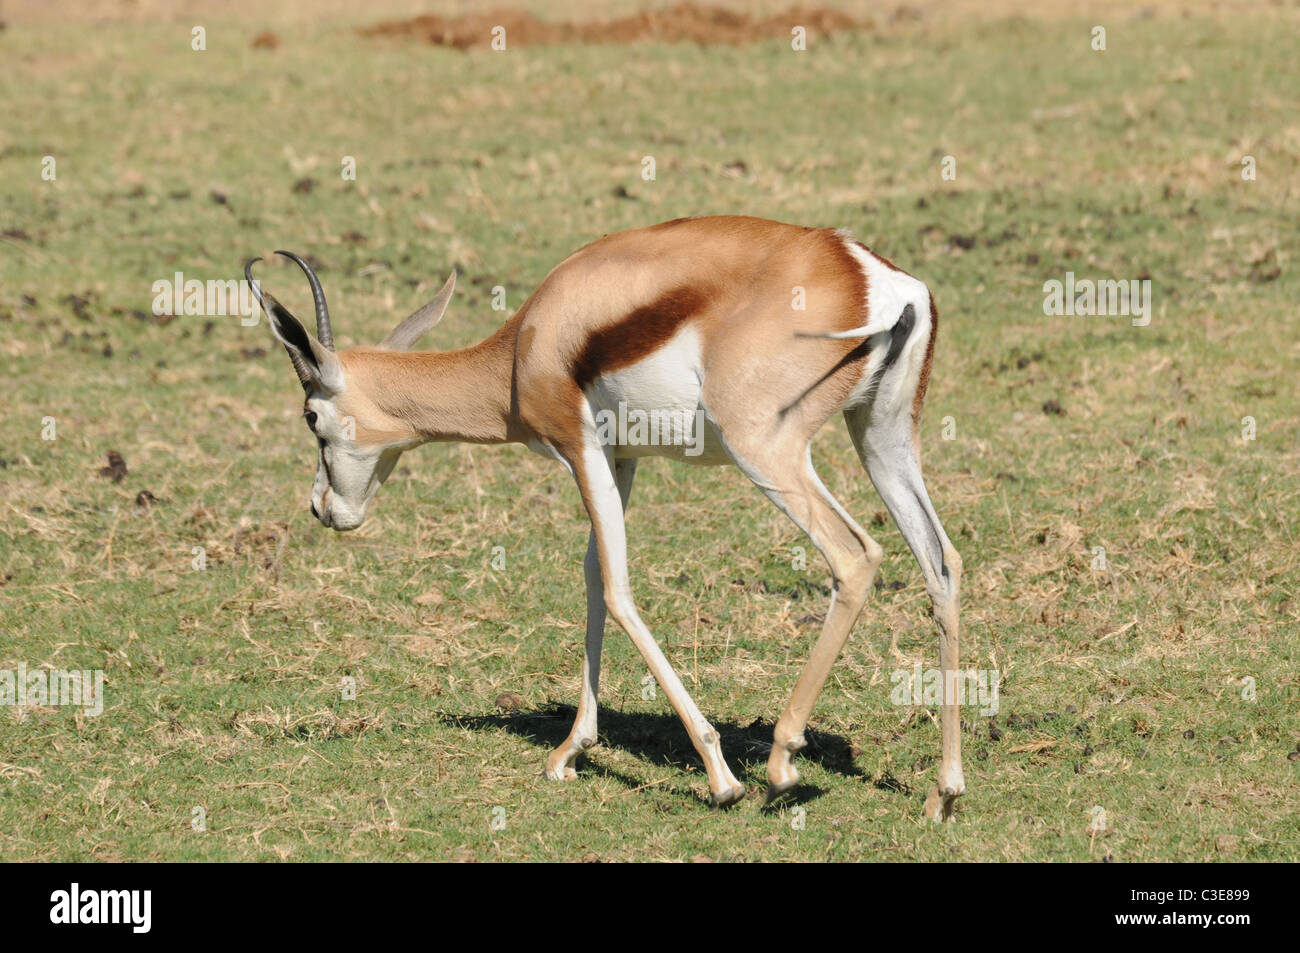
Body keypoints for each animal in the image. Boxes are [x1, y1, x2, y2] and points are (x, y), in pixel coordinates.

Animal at [246, 215, 966, 819]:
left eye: (311, 417)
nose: (322, 508)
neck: (523, 350)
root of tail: (870, 275)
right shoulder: (621, 457)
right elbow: (593, 574)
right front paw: (571, 751)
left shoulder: (579, 446)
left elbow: (617, 589)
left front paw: (719, 775)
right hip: (881, 436)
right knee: (942, 560)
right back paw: (944, 792)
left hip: (768, 450)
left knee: (855, 556)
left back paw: (782, 763)